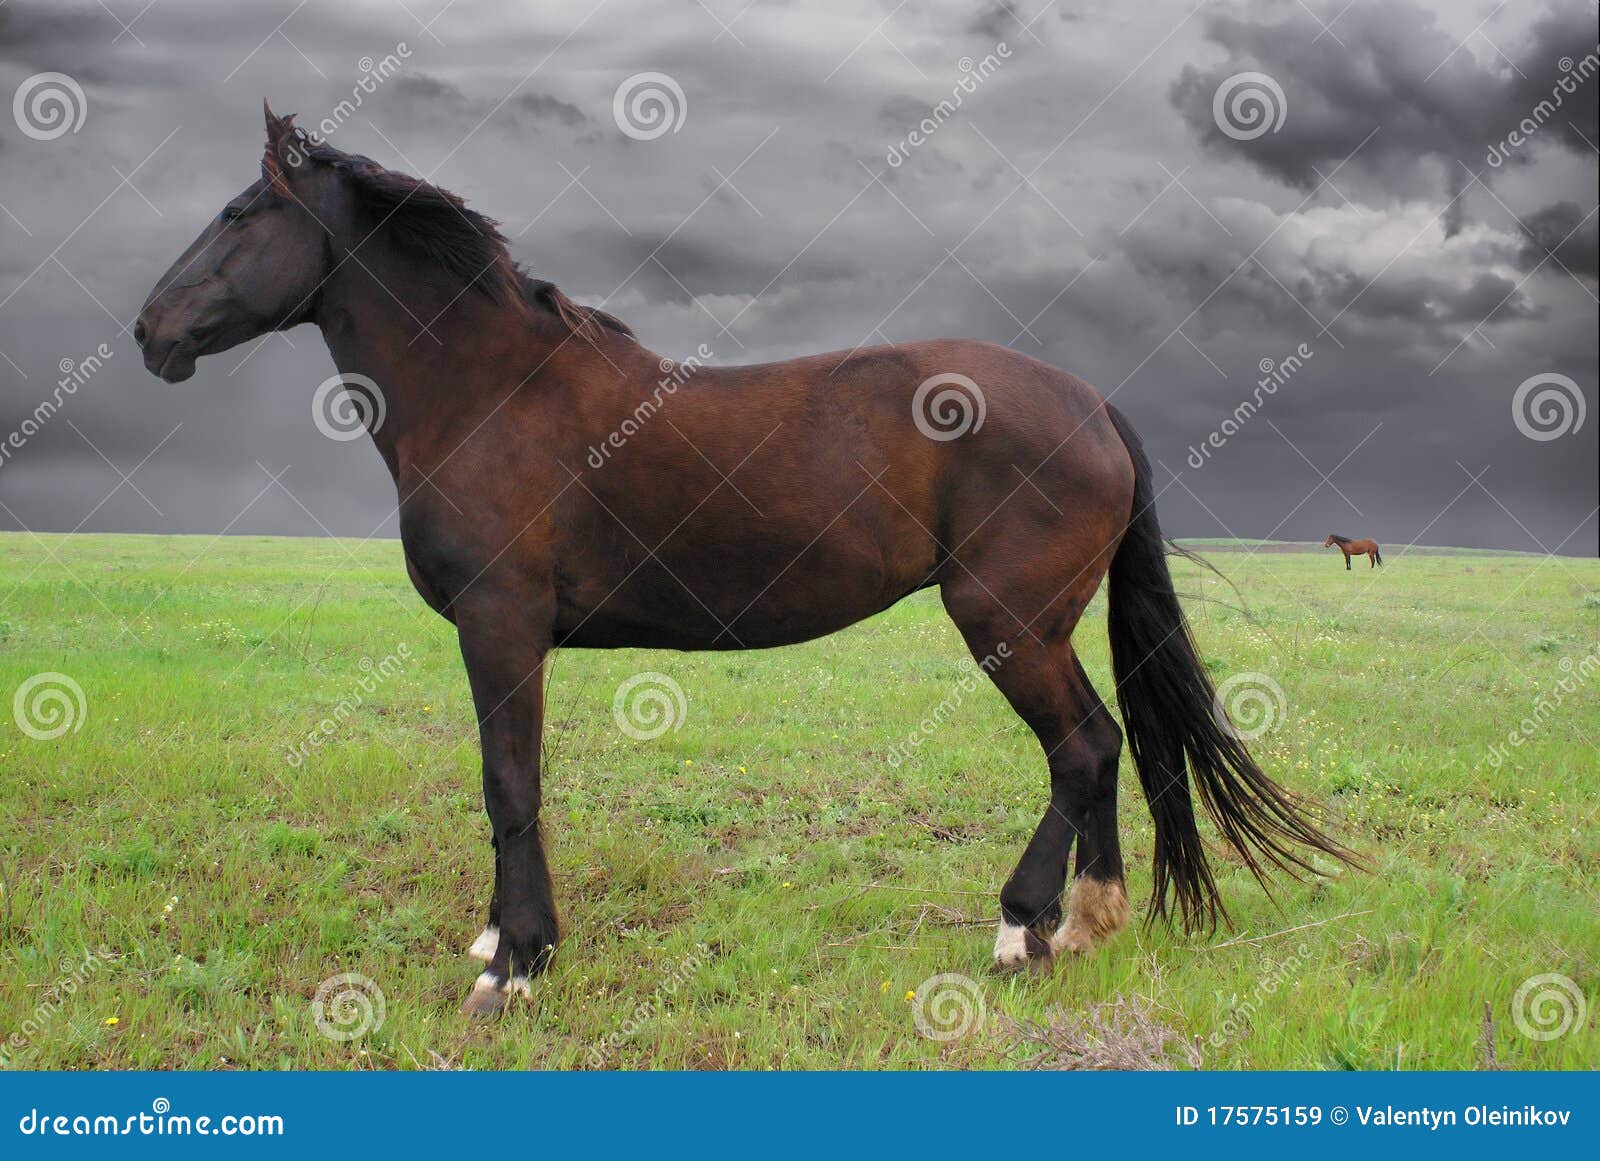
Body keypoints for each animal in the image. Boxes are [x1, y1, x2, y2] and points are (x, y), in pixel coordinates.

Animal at [135, 104, 1354, 1018]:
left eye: (238, 214)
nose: (149, 332)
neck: (491, 393)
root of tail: (1090, 402)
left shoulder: (502, 625)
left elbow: (509, 783)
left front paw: (517, 965)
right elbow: (505, 784)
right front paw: (498, 942)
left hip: (1005, 621)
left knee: (1084, 747)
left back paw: (1020, 930)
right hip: (1039, 626)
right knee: (1096, 751)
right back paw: (1086, 922)